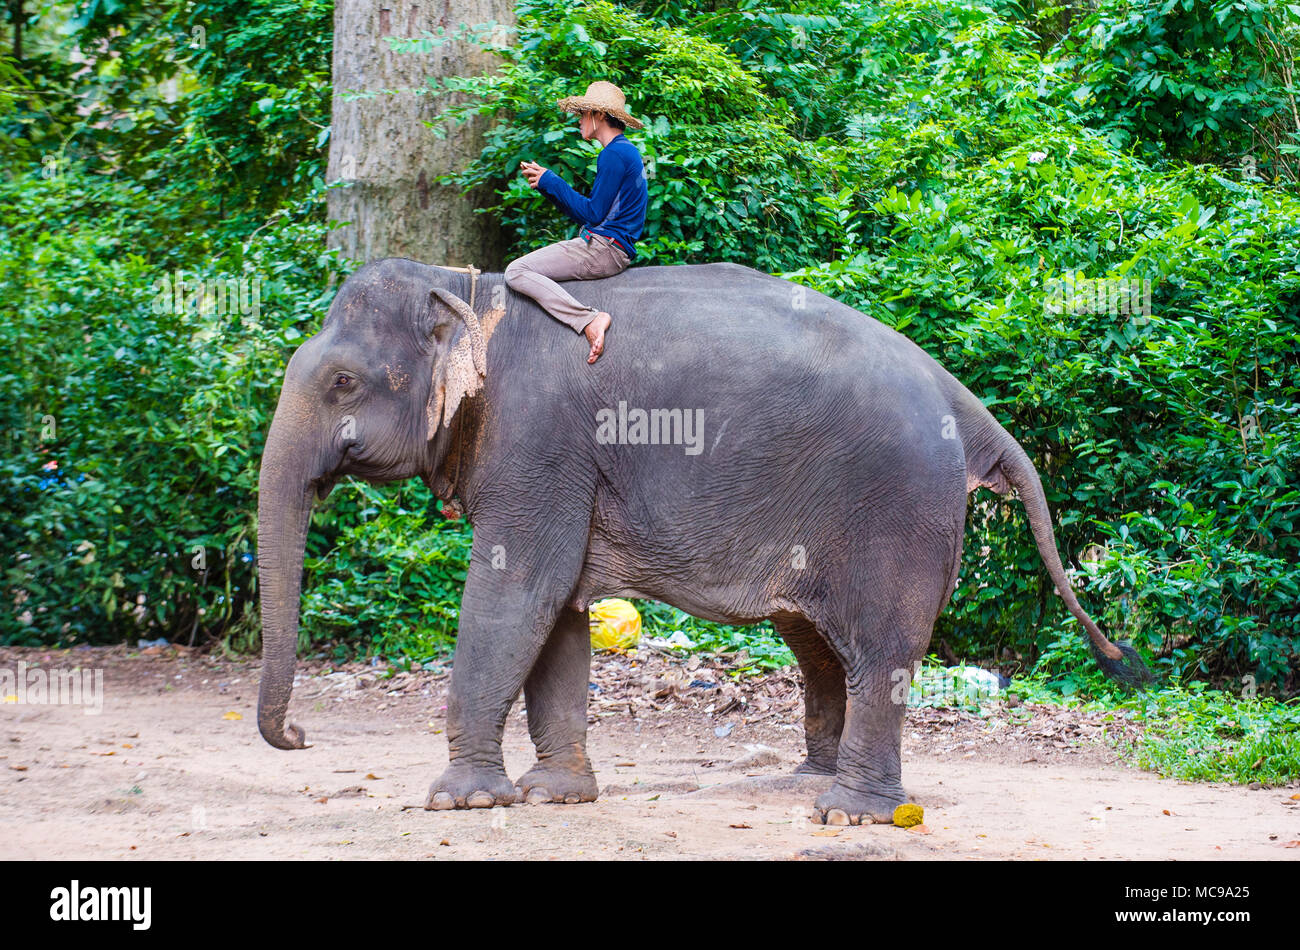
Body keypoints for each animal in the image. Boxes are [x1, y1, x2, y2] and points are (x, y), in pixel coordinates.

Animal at [256, 257, 1150, 825]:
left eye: (343, 383)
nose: (298, 736)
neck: (470, 290)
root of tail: (964, 403)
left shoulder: (537, 443)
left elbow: (518, 593)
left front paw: (462, 802)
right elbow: (558, 609)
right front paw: (554, 796)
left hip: (897, 507)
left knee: (879, 649)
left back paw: (849, 815)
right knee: (818, 644)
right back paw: (809, 781)